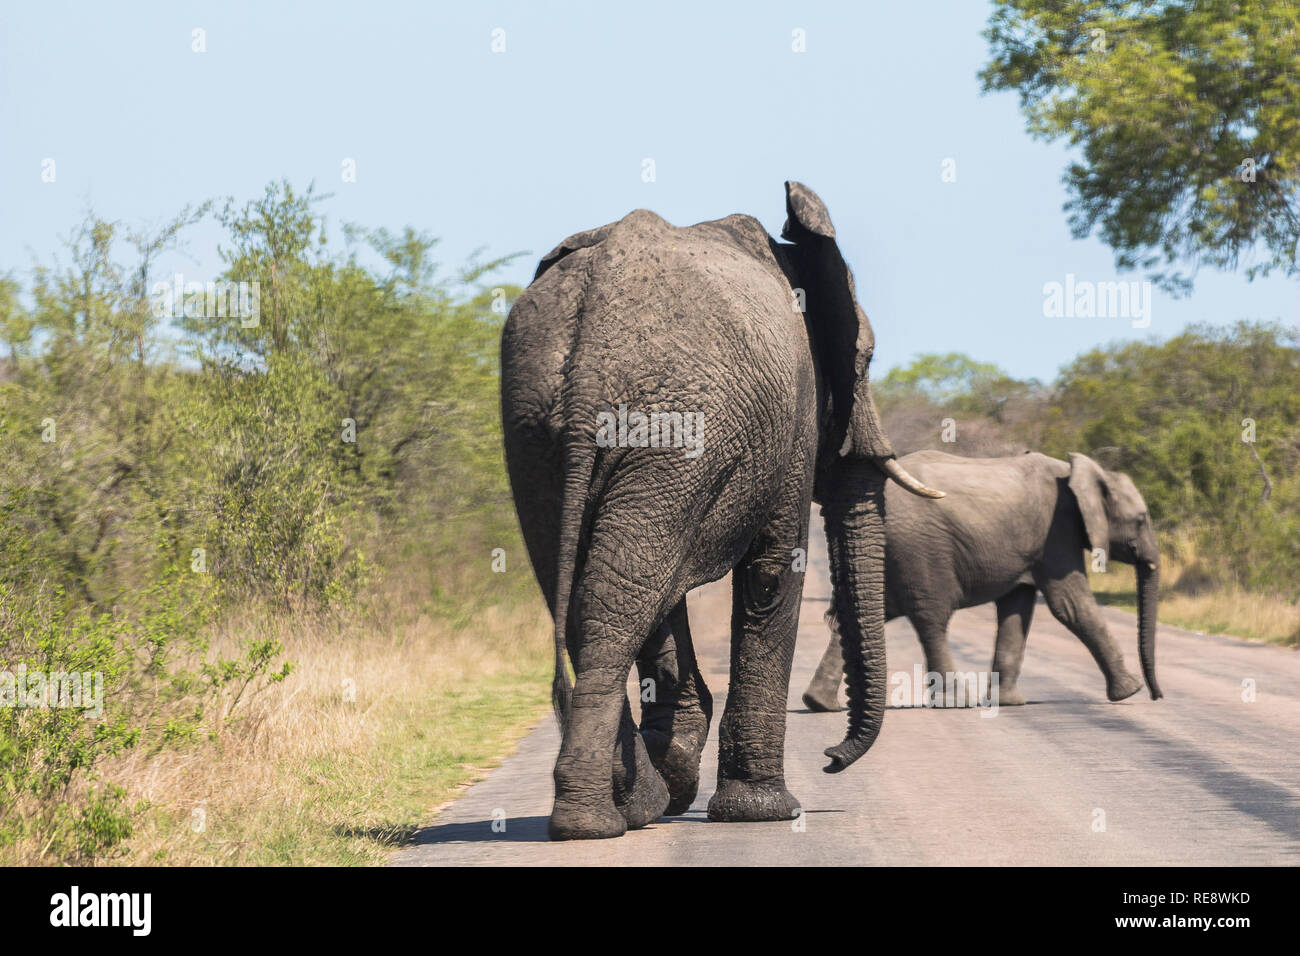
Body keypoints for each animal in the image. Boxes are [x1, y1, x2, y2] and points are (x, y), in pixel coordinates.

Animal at [501, 181, 944, 840]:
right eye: (865, 360)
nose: (831, 759)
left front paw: (680, 771)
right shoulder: (793, 418)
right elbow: (771, 573)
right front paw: (761, 811)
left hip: (537, 423)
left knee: (594, 588)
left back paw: (627, 806)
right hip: (671, 421)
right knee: (619, 599)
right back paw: (598, 820)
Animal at [801, 450, 1162, 711]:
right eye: (1141, 520)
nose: (1157, 696)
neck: (1079, 471)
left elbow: (1017, 610)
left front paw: (1010, 703)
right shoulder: (1057, 533)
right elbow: (1071, 606)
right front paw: (1130, 691)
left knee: (870, 613)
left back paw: (819, 704)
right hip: (919, 547)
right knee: (931, 617)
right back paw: (956, 704)